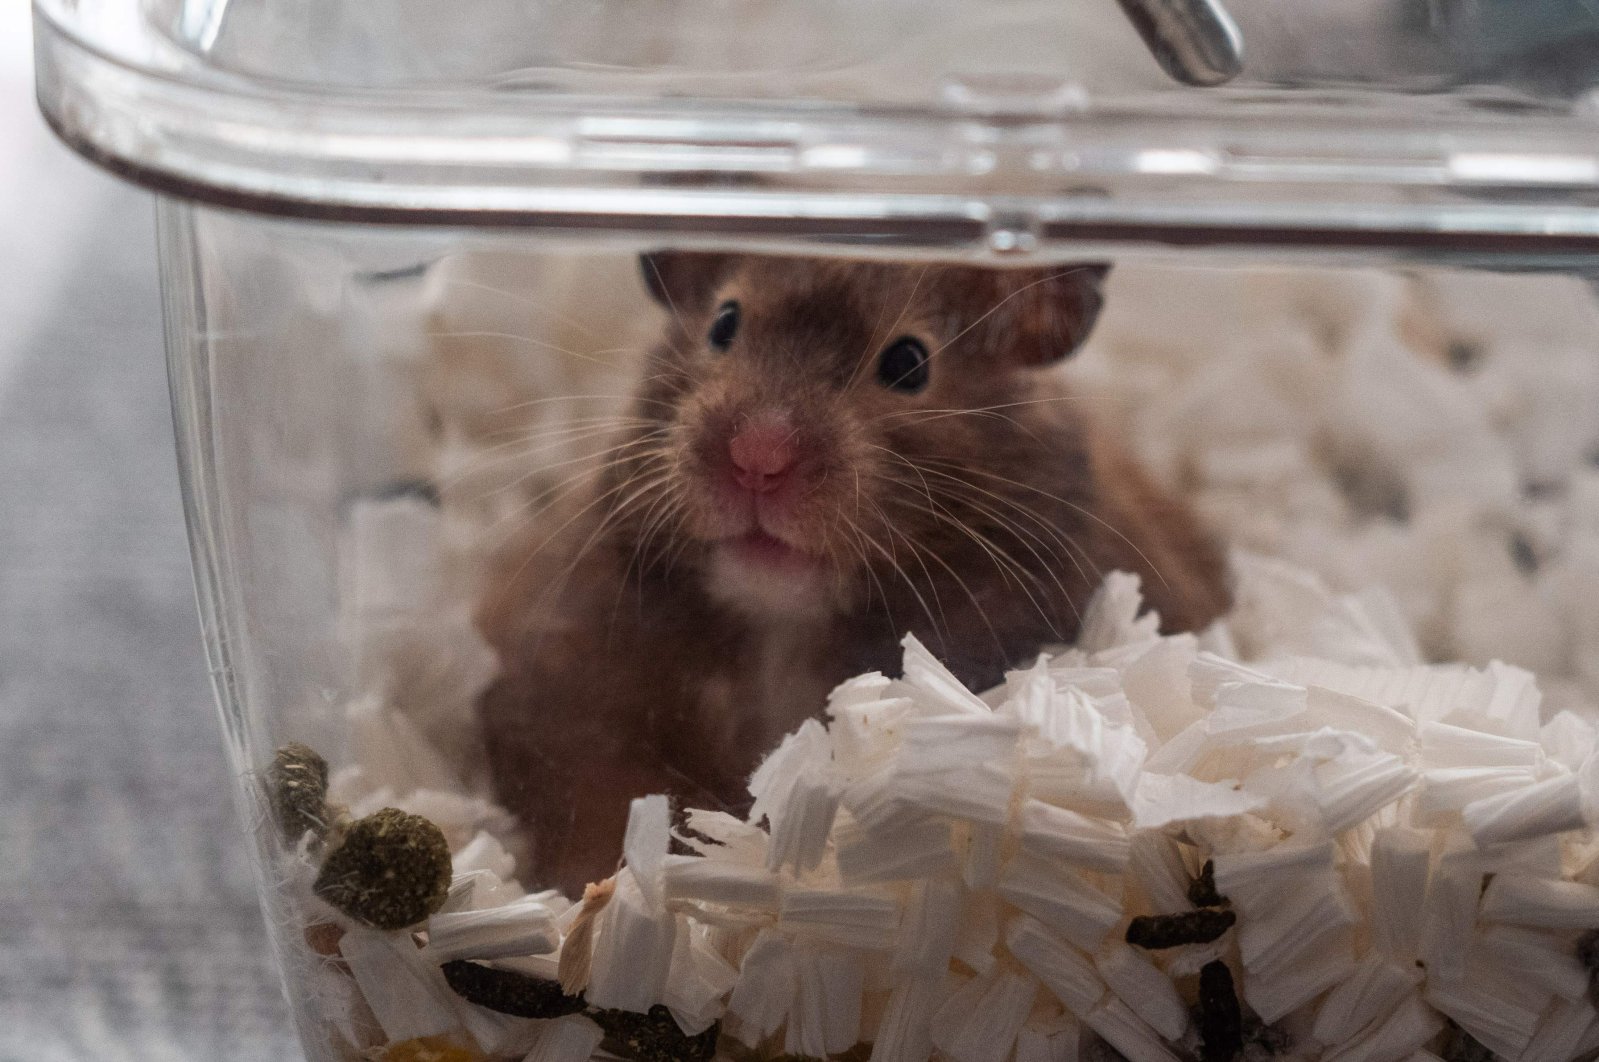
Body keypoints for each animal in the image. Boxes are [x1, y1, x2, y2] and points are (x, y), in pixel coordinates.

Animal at [470, 252, 1221, 889]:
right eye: (723, 324)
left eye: (909, 363)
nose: (757, 459)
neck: (781, 622)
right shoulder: (565, 699)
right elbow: (604, 807)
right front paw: (598, 893)